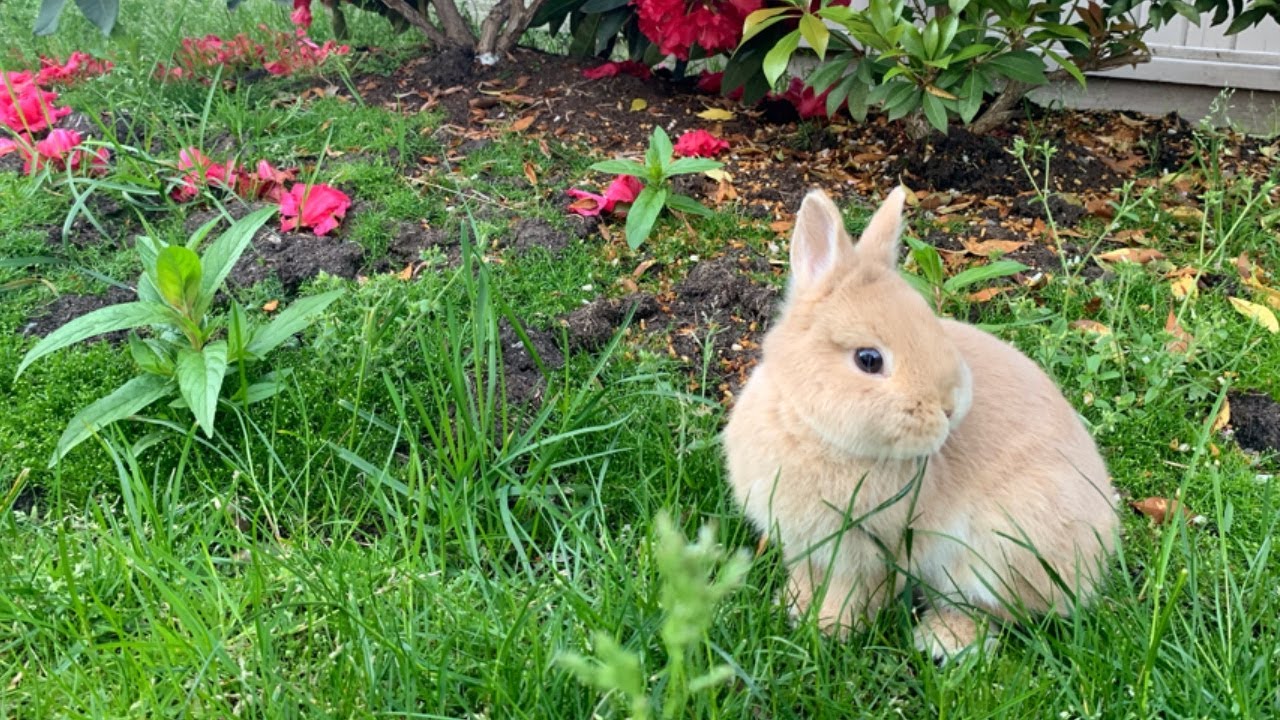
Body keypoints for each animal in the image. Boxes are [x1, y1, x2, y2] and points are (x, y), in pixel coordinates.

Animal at [722, 187, 1119, 660]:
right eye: (868, 360)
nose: (949, 408)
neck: (811, 429)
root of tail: (1100, 549)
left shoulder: (872, 552)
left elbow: (853, 593)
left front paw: (829, 629)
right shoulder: (807, 547)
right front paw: (794, 608)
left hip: (995, 551)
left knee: (992, 611)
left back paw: (939, 641)